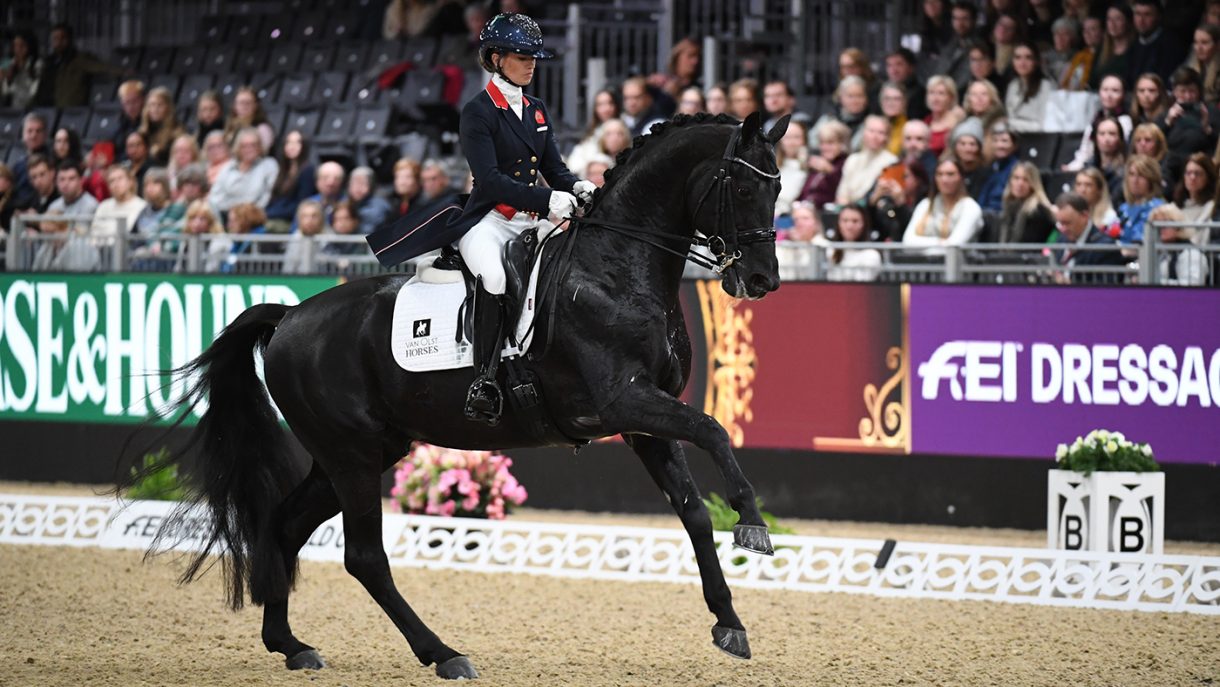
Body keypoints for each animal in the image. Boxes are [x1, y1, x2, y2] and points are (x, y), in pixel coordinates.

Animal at [148, 111, 791, 680]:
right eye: (741, 185)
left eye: (780, 185)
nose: (761, 280)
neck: (613, 271)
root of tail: (289, 318)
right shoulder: (622, 402)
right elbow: (714, 430)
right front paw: (754, 525)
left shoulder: (643, 421)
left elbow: (693, 513)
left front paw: (729, 623)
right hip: (351, 455)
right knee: (364, 556)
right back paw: (444, 654)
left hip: (360, 452)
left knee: (285, 525)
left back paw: (290, 644)